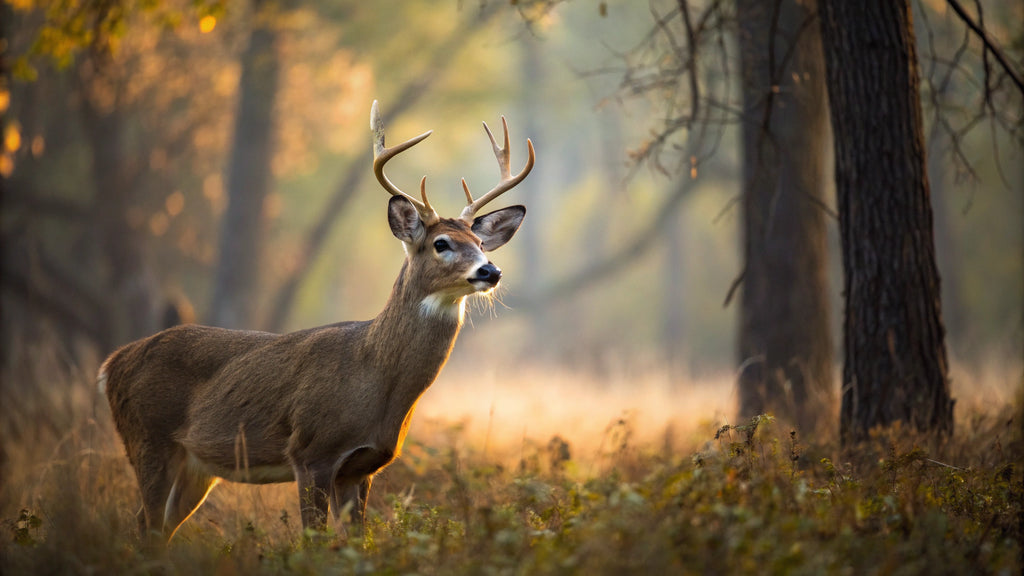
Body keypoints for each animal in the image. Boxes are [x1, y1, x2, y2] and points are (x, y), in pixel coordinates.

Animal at [98, 100, 534, 542]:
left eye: (480, 243)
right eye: (441, 243)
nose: (490, 271)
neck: (374, 374)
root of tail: (112, 364)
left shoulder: (363, 467)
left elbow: (359, 544)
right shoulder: (310, 451)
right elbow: (314, 541)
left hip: (196, 464)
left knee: (158, 526)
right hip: (147, 438)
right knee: (146, 521)